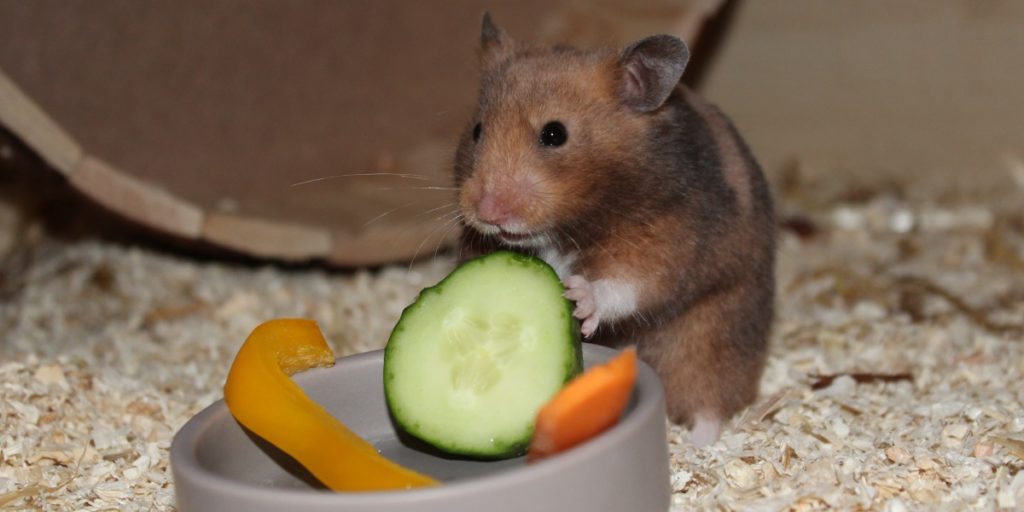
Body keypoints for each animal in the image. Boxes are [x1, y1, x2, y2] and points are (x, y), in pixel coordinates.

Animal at [453, 14, 775, 447]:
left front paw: (578, 297)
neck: (568, 226)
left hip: (712, 343)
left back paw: (700, 444)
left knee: (709, 403)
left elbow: (626, 282)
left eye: (554, 134)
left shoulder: (665, 241)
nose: (487, 212)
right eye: (477, 131)